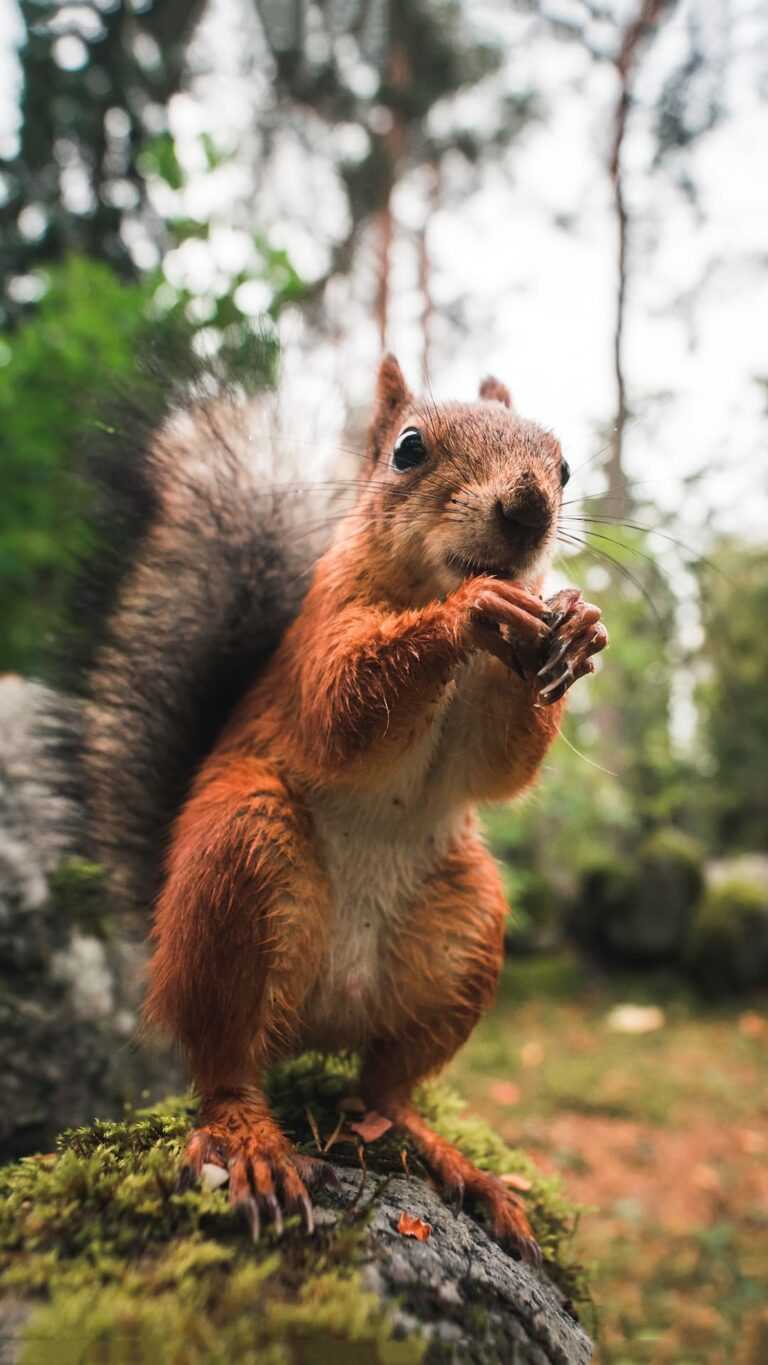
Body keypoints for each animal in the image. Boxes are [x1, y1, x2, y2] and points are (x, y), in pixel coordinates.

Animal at [56, 351, 607, 1260]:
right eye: (408, 449)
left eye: (563, 467)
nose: (529, 509)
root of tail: (322, 1016)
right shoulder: (322, 632)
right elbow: (346, 702)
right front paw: (467, 612)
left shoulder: (491, 718)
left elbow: (499, 761)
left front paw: (581, 623)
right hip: (241, 859)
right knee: (225, 1063)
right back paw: (250, 1142)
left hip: (463, 927)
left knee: (382, 1087)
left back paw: (449, 1157)